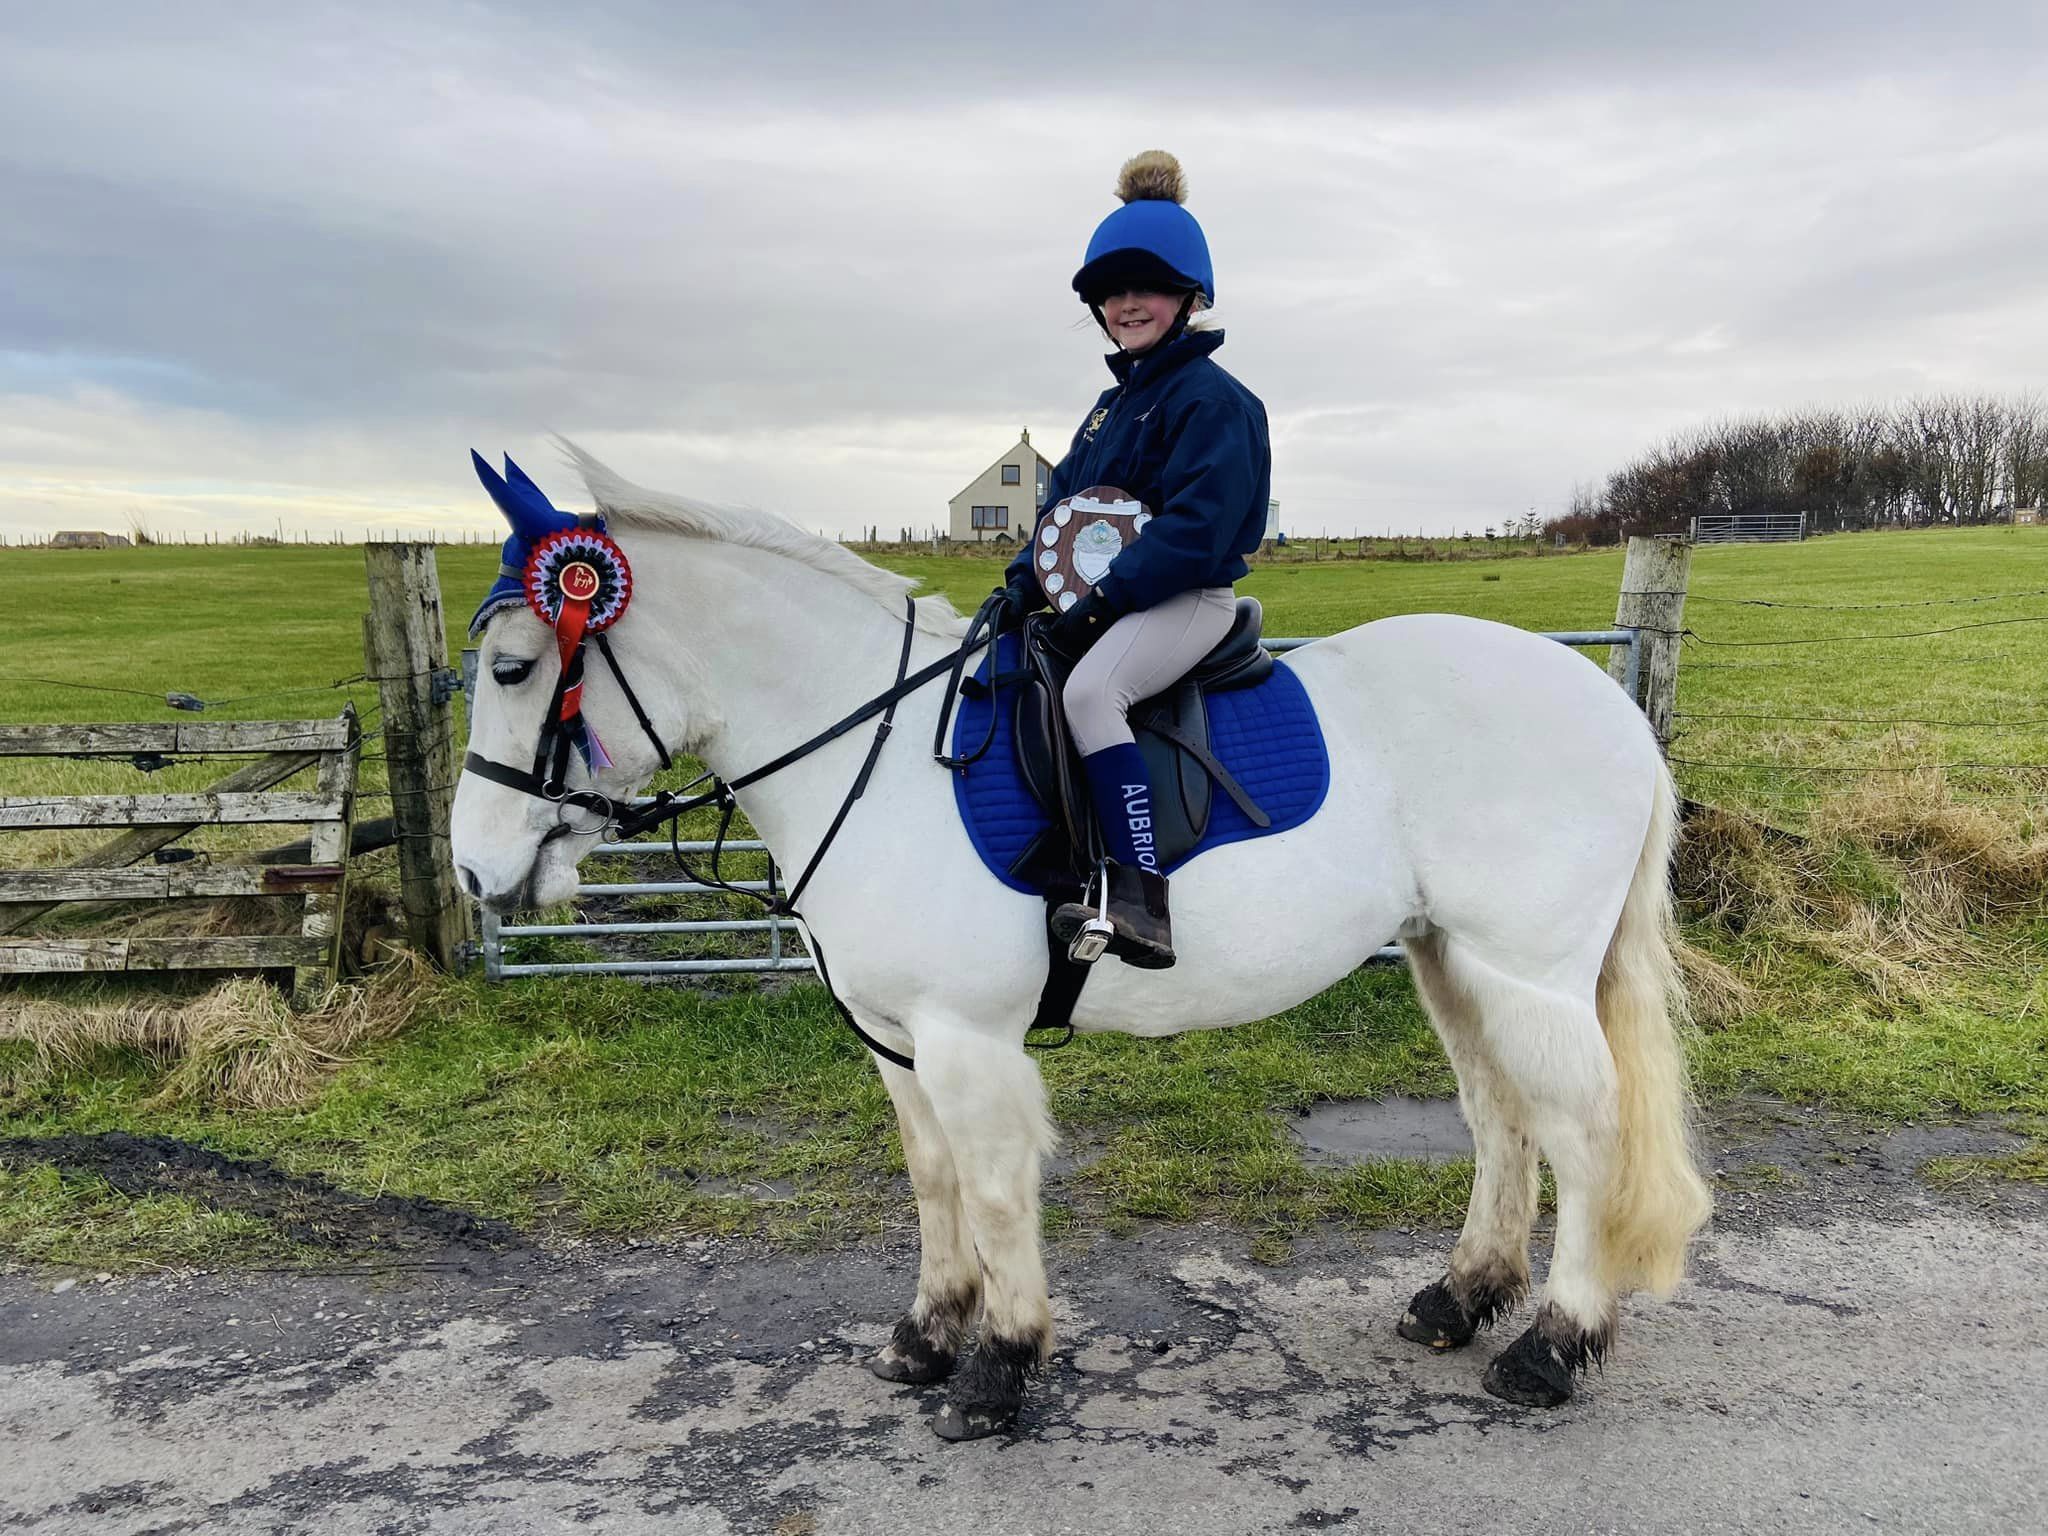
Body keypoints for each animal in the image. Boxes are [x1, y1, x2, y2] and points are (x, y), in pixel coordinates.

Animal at [451, 446, 1713, 1442]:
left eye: (514, 668)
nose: (473, 869)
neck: (878, 752)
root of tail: (1608, 705)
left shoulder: (967, 1039)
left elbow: (994, 1188)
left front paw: (998, 1367)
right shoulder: (894, 1039)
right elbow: (931, 1178)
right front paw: (927, 1334)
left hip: (1526, 974)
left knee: (1583, 1136)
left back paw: (1552, 1347)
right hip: (1447, 959)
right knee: (1500, 1120)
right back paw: (1460, 1299)